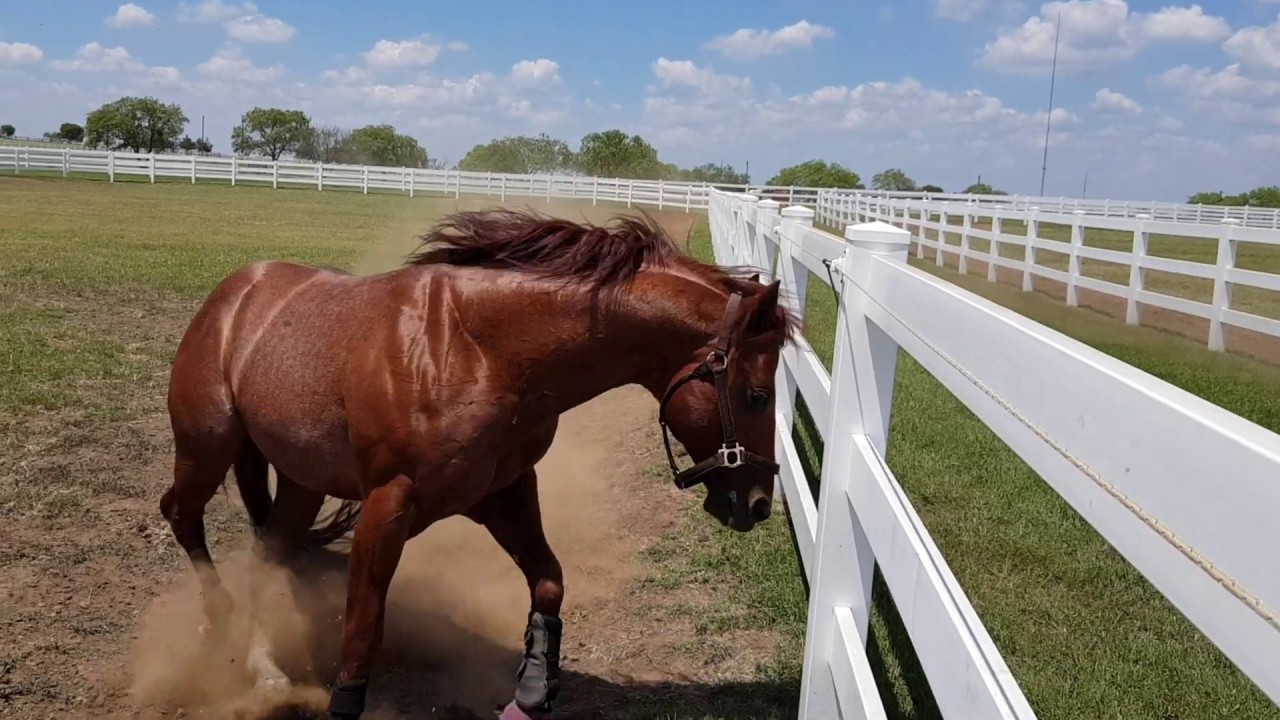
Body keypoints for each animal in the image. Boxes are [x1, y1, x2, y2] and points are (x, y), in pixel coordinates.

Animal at [159, 206, 798, 719]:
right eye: (758, 395)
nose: (759, 503)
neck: (475, 350)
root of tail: (235, 291)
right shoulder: (387, 506)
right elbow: (362, 632)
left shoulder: (503, 491)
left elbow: (548, 583)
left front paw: (533, 691)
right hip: (205, 449)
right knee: (181, 514)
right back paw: (219, 619)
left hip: (299, 480)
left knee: (269, 550)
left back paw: (265, 668)